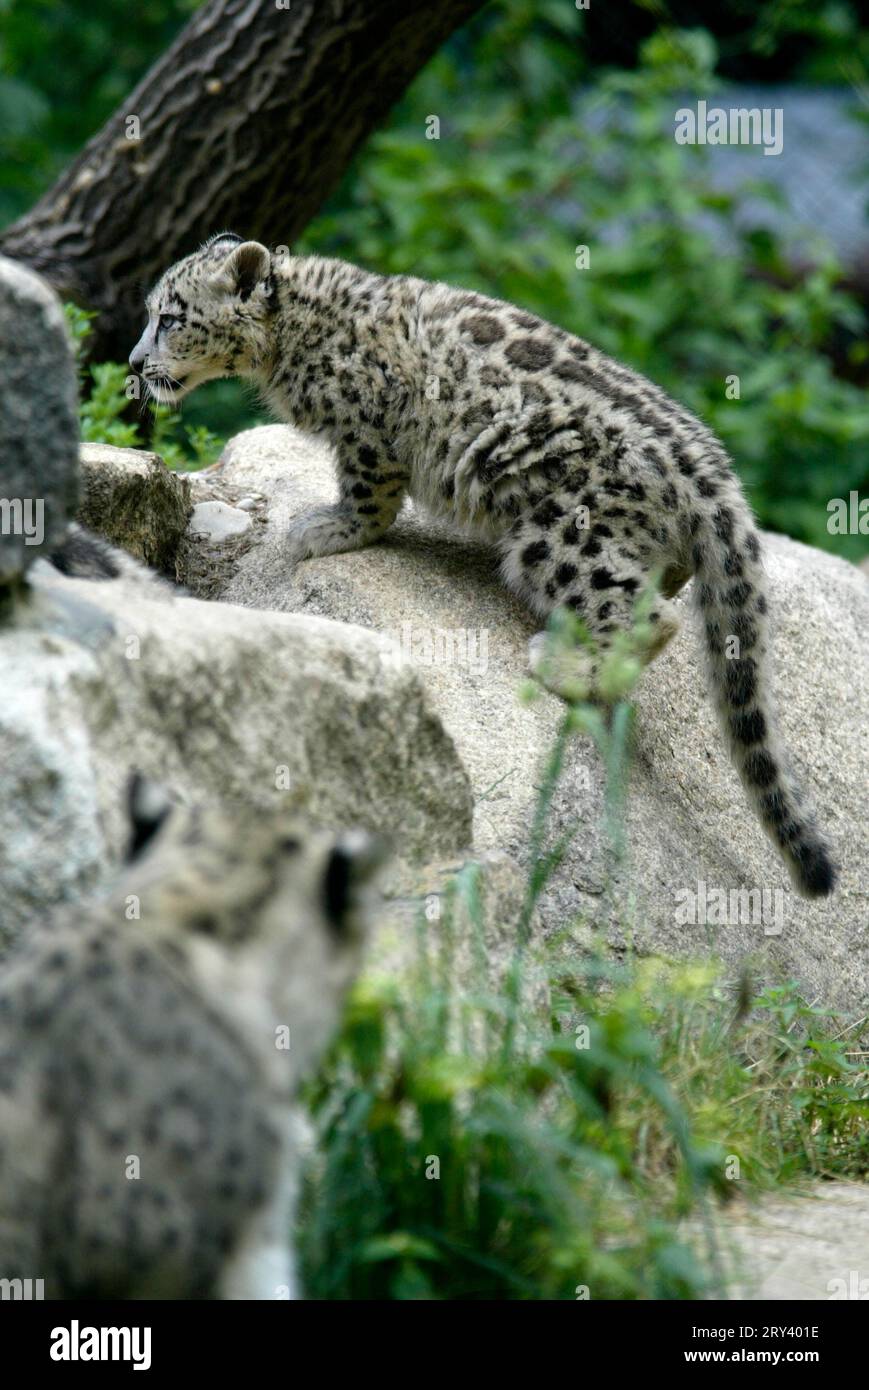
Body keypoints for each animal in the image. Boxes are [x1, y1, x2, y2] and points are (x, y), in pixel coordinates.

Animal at [129, 233, 836, 897]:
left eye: (170, 317)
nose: (134, 363)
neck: (295, 339)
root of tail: (712, 472)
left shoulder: (367, 433)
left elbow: (368, 495)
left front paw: (325, 528)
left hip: (557, 536)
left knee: (648, 614)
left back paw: (567, 665)